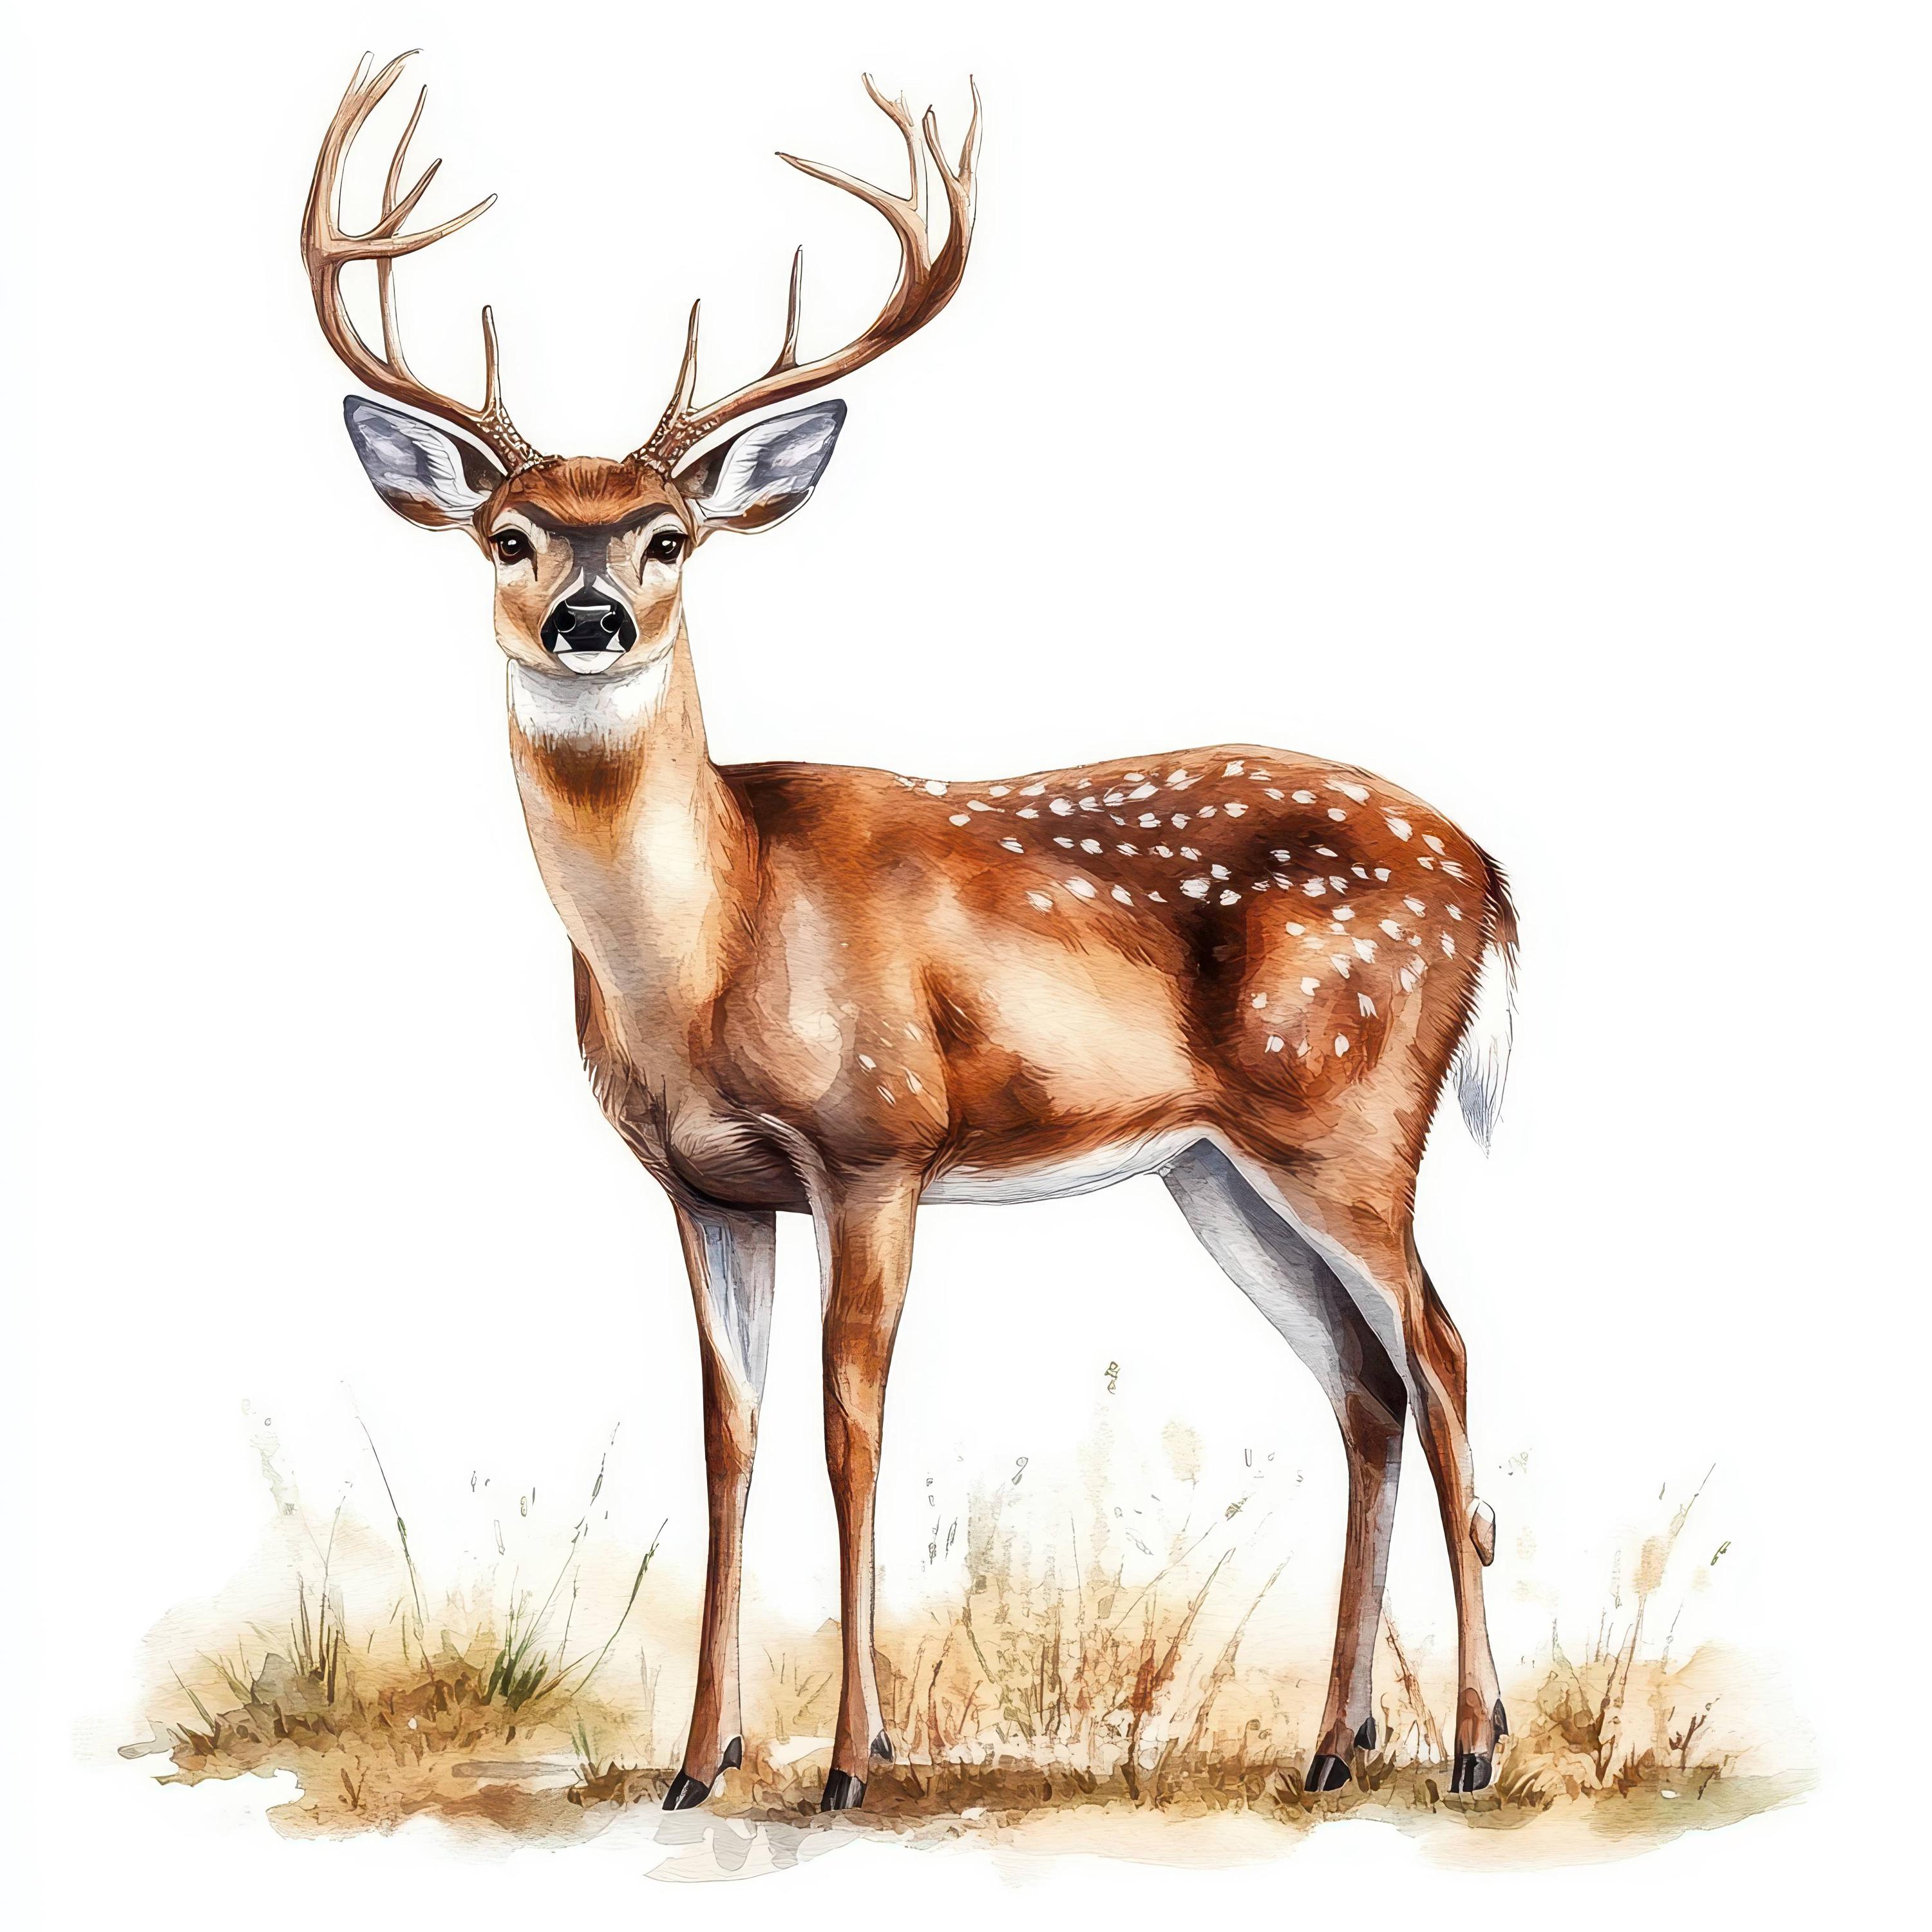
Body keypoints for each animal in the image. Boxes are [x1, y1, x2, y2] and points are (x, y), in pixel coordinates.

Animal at [303, 52, 1522, 1812]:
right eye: (508, 534)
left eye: (670, 534)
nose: (590, 620)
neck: (713, 941)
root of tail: (1488, 872)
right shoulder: (703, 1184)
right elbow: (728, 1439)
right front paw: (701, 1760)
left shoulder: (877, 1139)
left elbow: (848, 1424)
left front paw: (849, 1762)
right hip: (1216, 1169)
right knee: (1361, 1381)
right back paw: (1336, 1745)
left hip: (1348, 1110)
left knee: (1440, 1347)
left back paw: (1477, 1742)